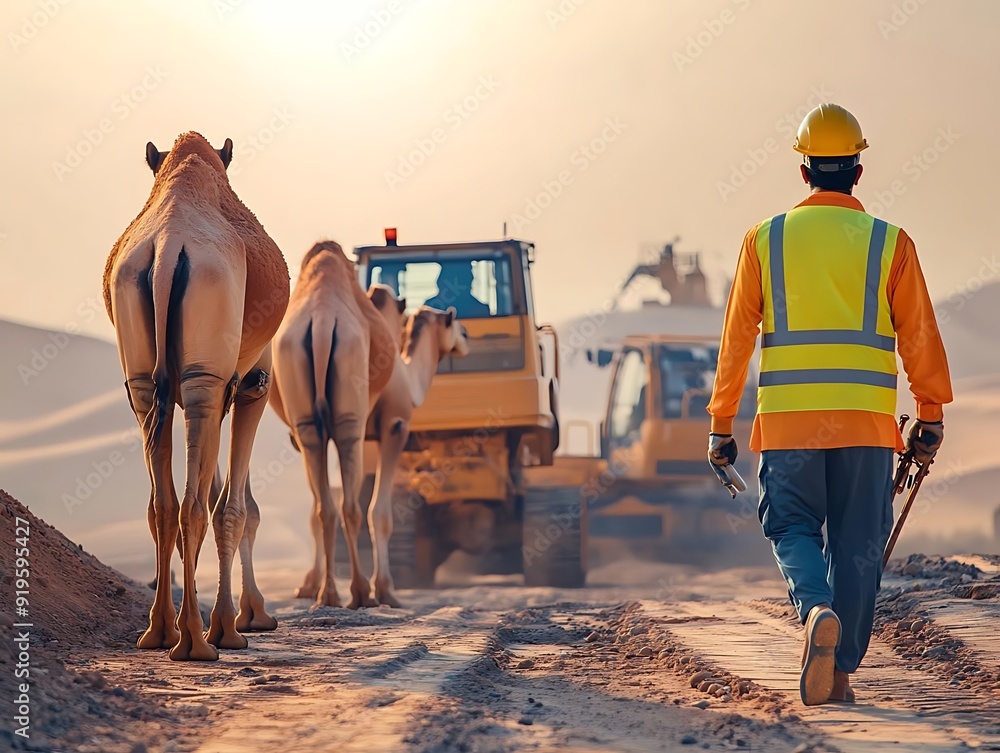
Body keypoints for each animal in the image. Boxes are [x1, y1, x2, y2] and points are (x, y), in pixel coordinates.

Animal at [103, 132, 288, 661]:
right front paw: (239, 623)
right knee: (197, 505)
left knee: (164, 504)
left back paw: (161, 632)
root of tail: (168, 249)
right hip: (209, 379)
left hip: (147, 383)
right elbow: (234, 506)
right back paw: (199, 642)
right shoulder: (253, 385)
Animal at [268, 241, 398, 609]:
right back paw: (360, 592)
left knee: (325, 508)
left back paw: (329, 594)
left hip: (306, 424)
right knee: (349, 507)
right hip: (350, 420)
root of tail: (324, 320)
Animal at [292, 292, 470, 607]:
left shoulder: (364, 440)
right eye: (452, 321)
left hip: (308, 430)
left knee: (320, 508)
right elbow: (379, 512)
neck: (409, 379)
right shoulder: (393, 429)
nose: (466, 334)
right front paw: (386, 588)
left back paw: (316, 589)